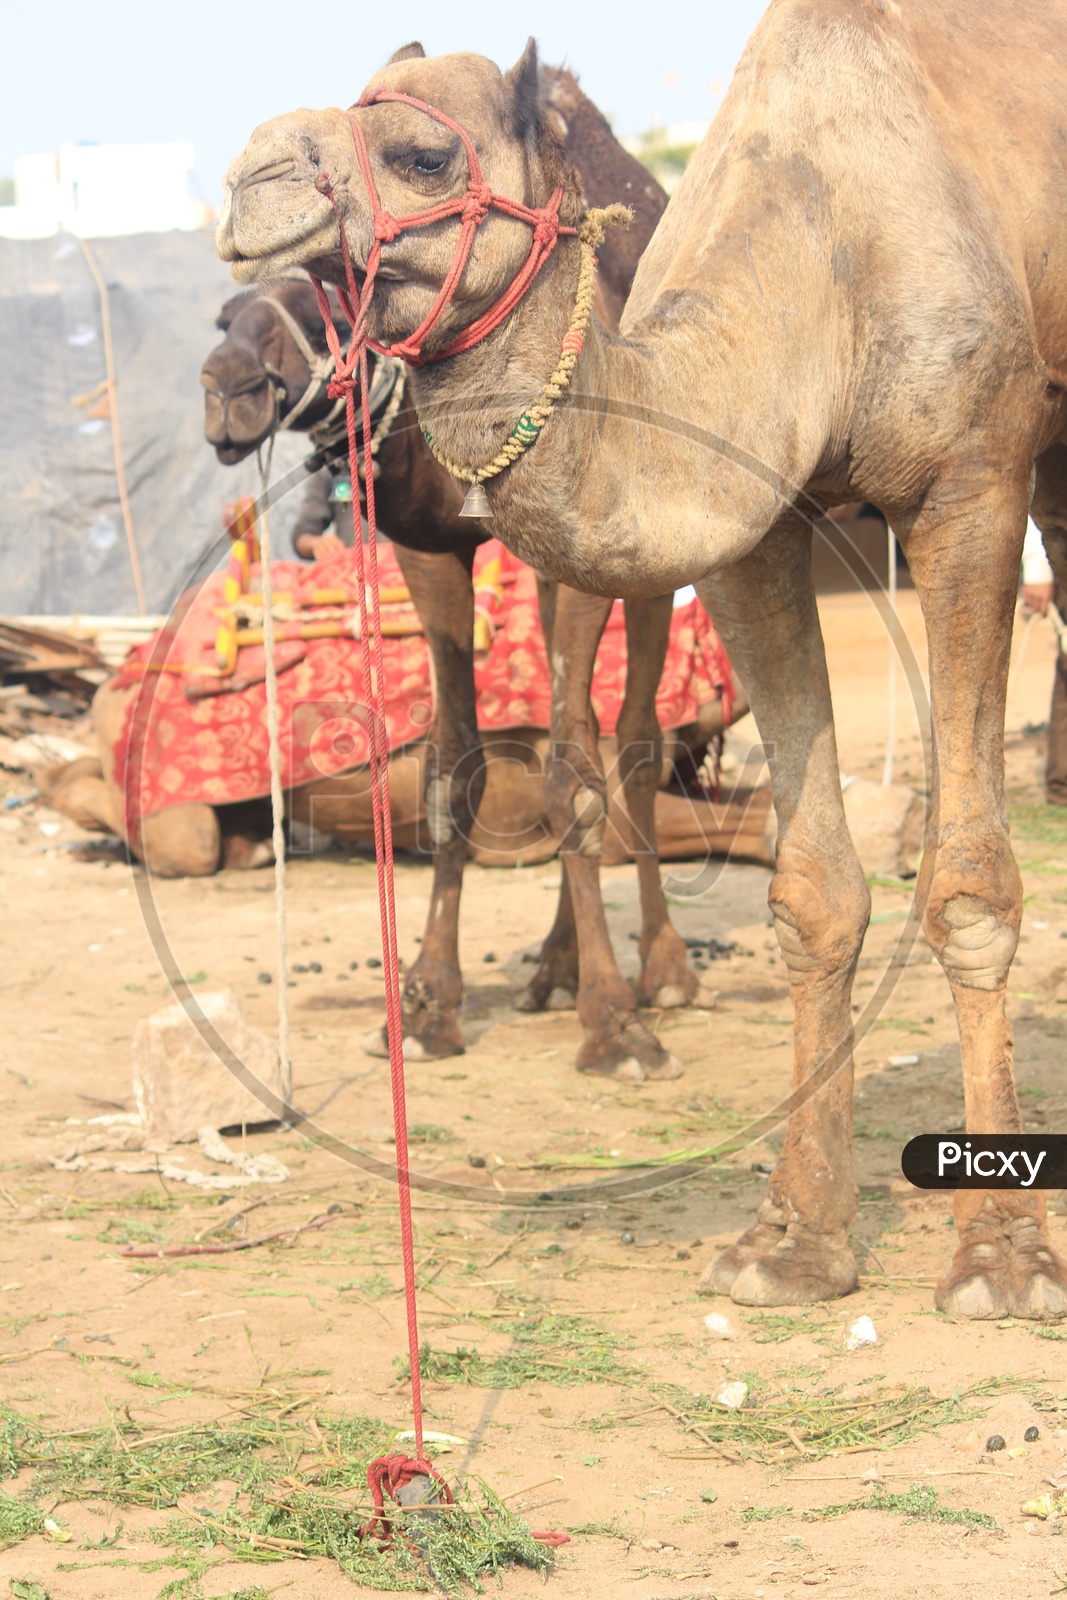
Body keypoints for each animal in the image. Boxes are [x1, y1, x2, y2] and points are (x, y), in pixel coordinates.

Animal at [216, 4, 1067, 1319]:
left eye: (422, 153)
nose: (248, 178)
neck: (825, 255)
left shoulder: (971, 487)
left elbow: (969, 885)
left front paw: (1002, 1258)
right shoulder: (755, 533)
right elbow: (809, 889)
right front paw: (791, 1241)